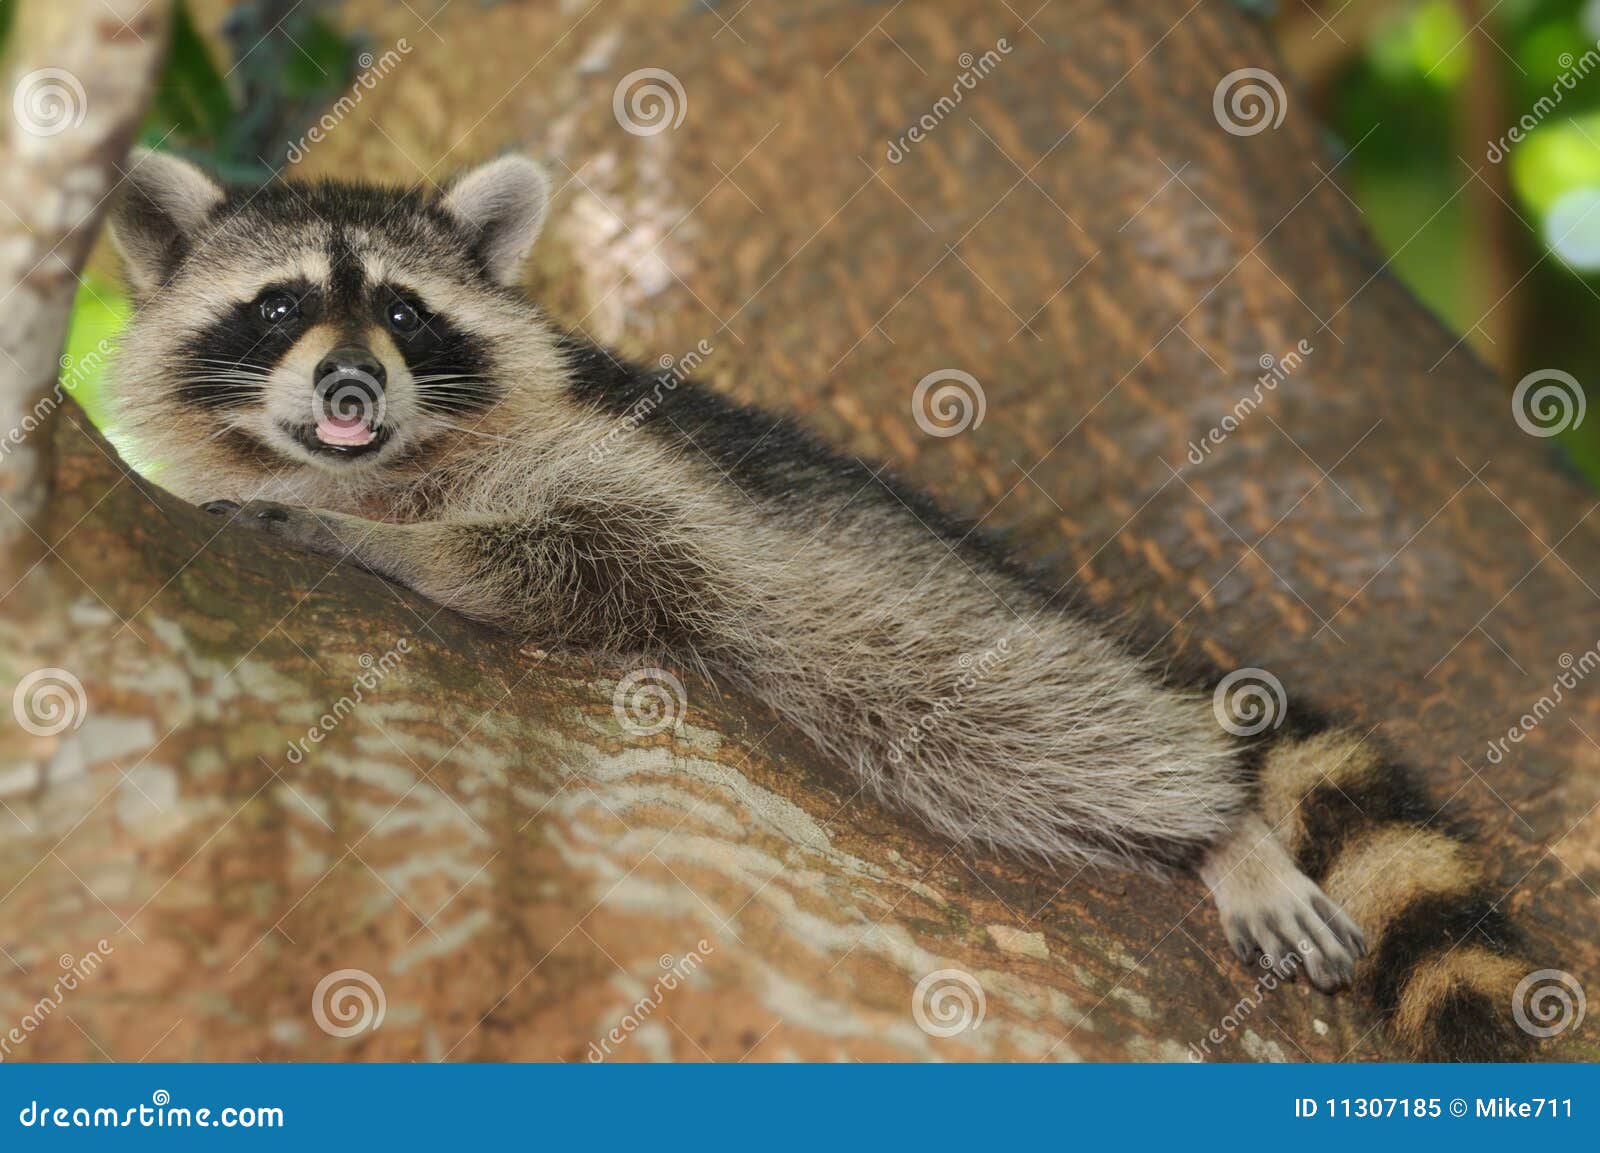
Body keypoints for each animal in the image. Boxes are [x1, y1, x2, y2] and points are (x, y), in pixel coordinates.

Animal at [105, 149, 1539, 1059]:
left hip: (950, 638)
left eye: (404, 313)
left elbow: (569, 566)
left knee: (1051, 733)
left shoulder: (622, 474)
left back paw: (1223, 824)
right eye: (280, 304)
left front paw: (363, 536)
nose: (349, 386)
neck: (384, 455)